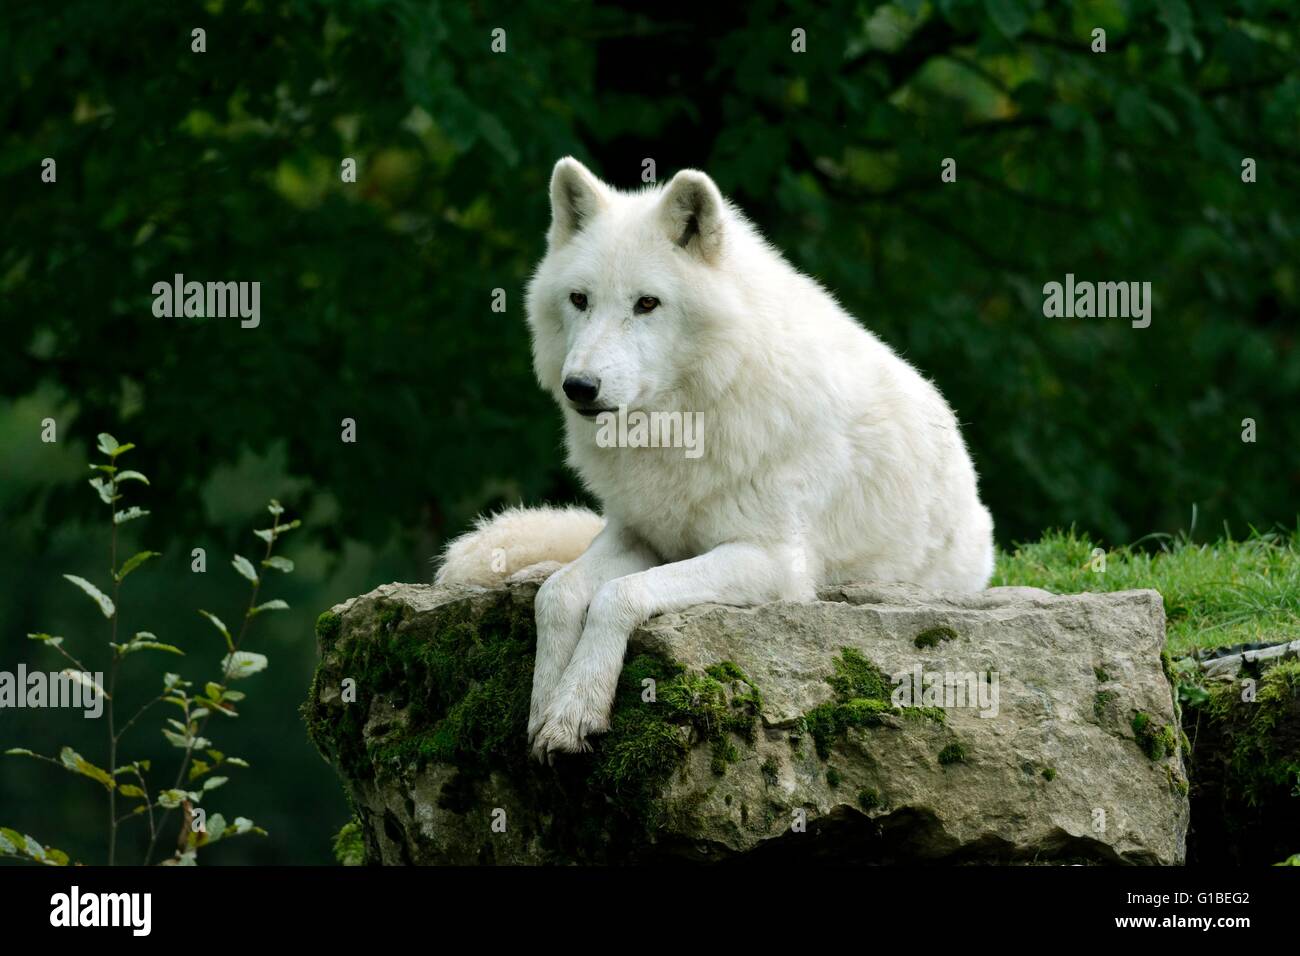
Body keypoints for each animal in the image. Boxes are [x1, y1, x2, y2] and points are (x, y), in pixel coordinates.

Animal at [436, 157, 995, 760]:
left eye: (646, 303)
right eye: (580, 299)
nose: (579, 387)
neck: (689, 418)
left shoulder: (773, 564)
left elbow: (617, 595)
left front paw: (576, 708)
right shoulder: (640, 535)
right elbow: (558, 595)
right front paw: (545, 707)